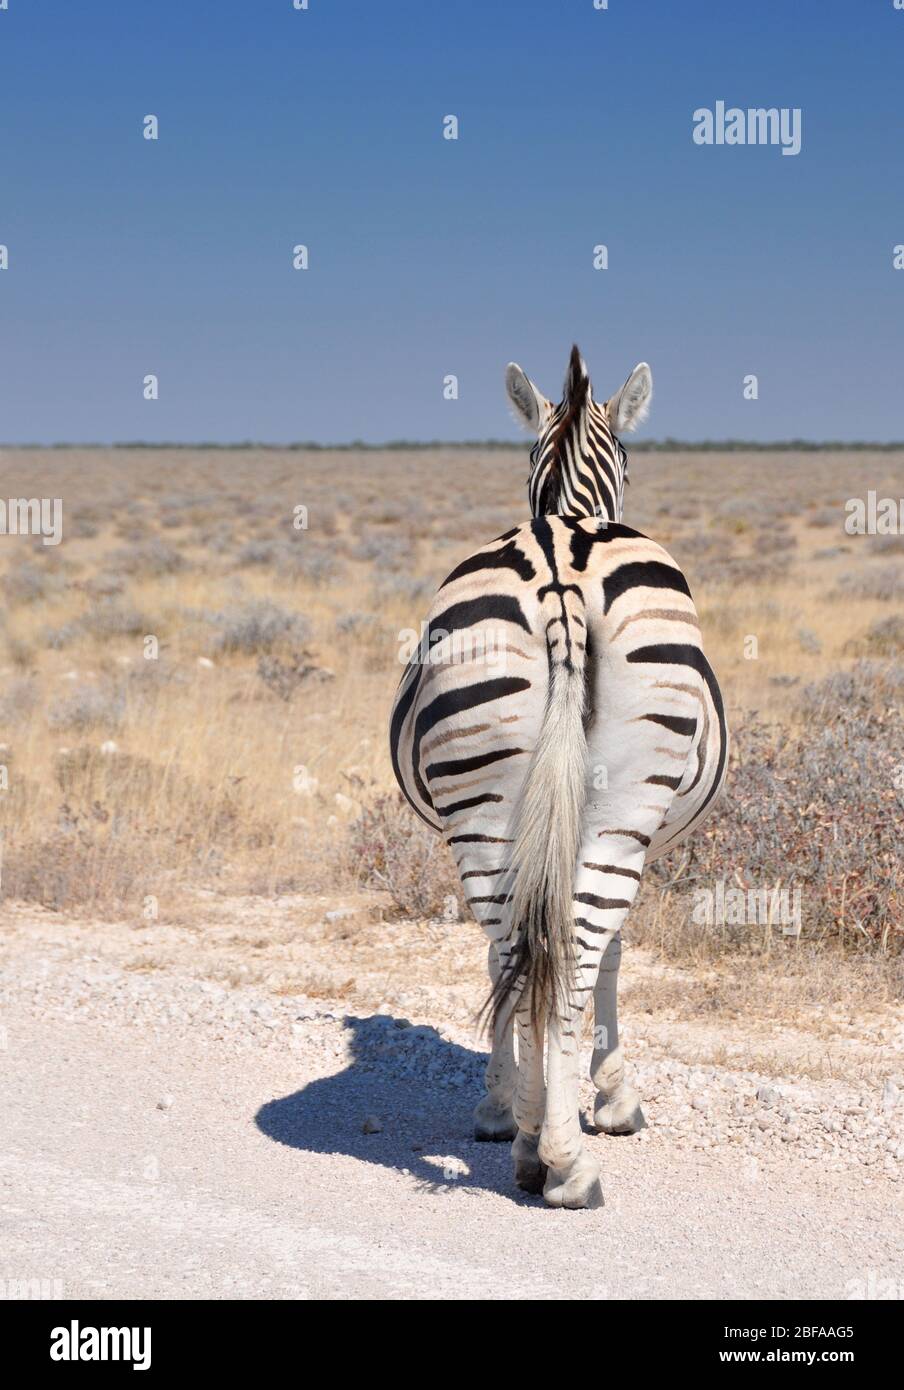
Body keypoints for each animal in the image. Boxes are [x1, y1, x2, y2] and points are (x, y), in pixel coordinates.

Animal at [389, 345, 728, 1209]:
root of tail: (558, 568)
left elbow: (499, 955)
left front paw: (504, 1106)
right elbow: (611, 956)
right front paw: (610, 1100)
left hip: (483, 803)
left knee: (515, 944)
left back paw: (529, 1142)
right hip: (619, 814)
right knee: (575, 949)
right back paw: (568, 1163)